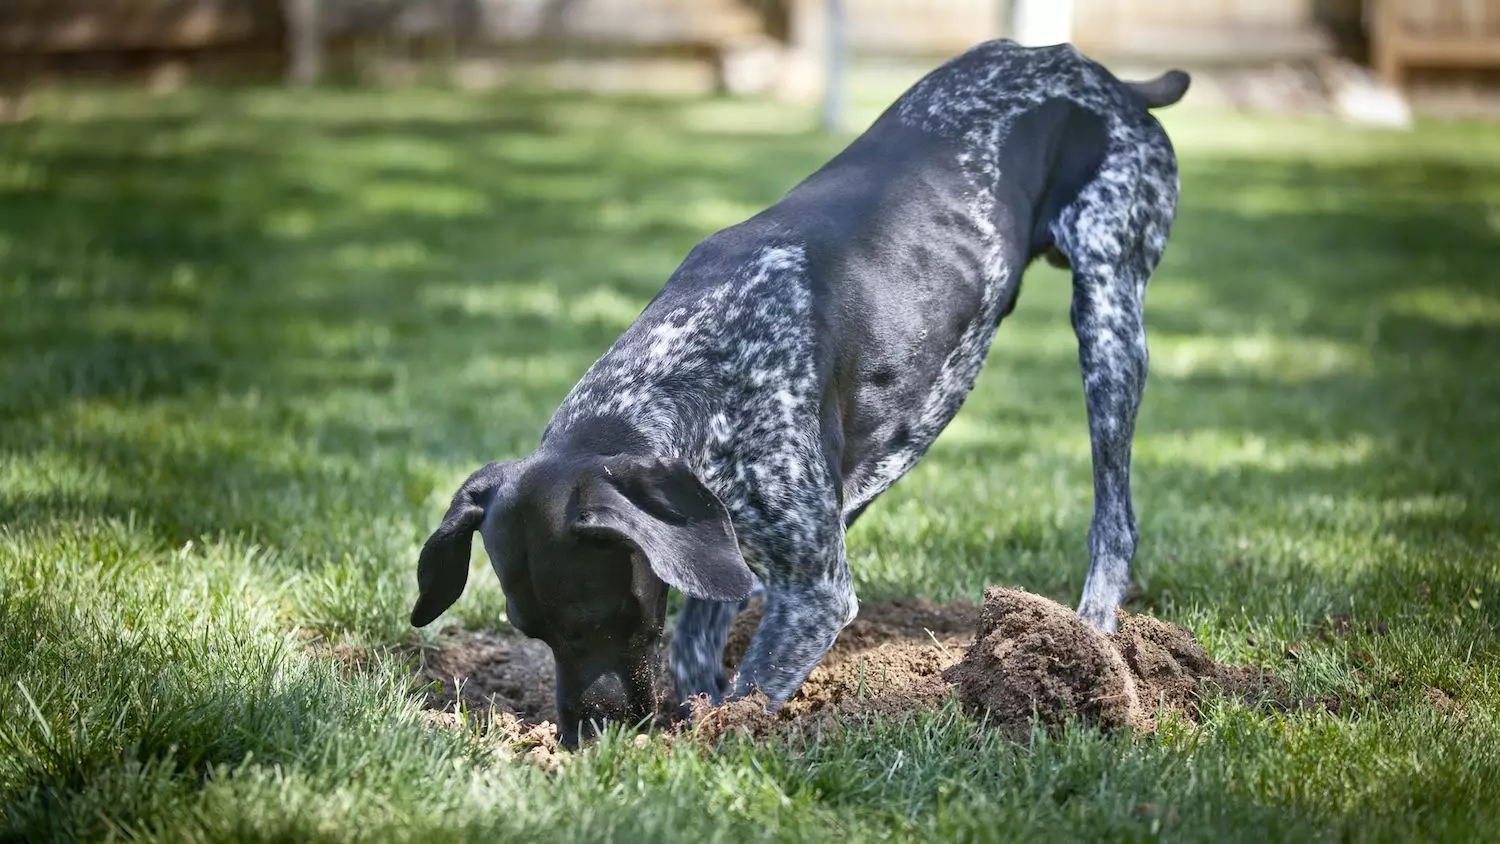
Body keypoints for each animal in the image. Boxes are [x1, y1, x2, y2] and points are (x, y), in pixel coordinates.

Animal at [414, 41, 1194, 746]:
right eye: (531, 632)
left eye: (602, 620)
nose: (583, 739)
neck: (682, 372)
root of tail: (1108, 78)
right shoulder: (724, 538)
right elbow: (699, 652)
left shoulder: (814, 594)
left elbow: (746, 696)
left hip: (1108, 315)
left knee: (1116, 519)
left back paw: (1093, 641)